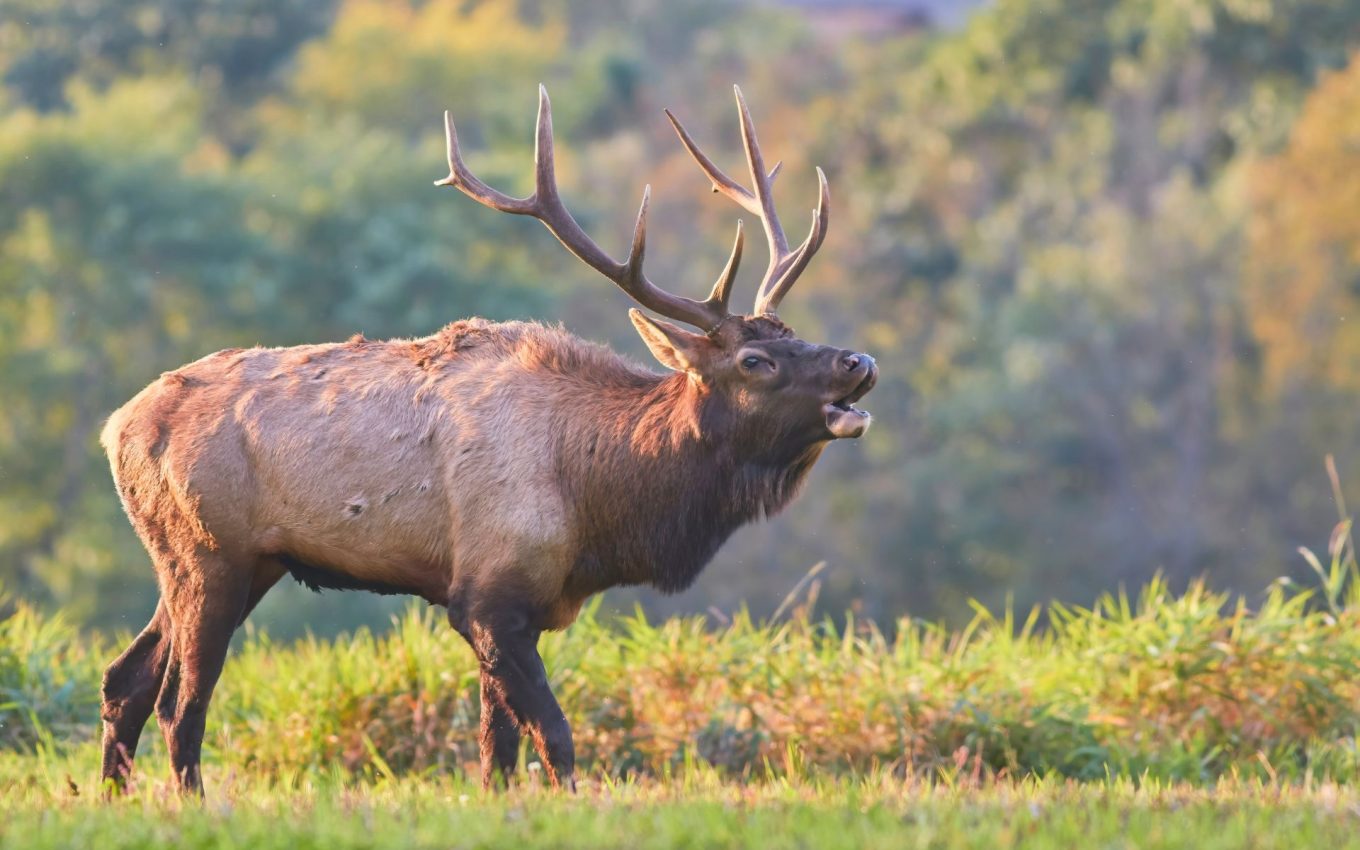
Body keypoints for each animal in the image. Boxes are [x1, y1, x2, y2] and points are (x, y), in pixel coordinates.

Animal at [97, 85, 876, 796]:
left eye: (794, 334)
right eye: (755, 361)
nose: (858, 361)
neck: (598, 504)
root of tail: (116, 429)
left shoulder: (508, 605)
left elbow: (494, 750)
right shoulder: (487, 595)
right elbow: (552, 736)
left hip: (236, 560)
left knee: (124, 679)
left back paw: (113, 795)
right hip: (209, 551)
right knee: (179, 704)